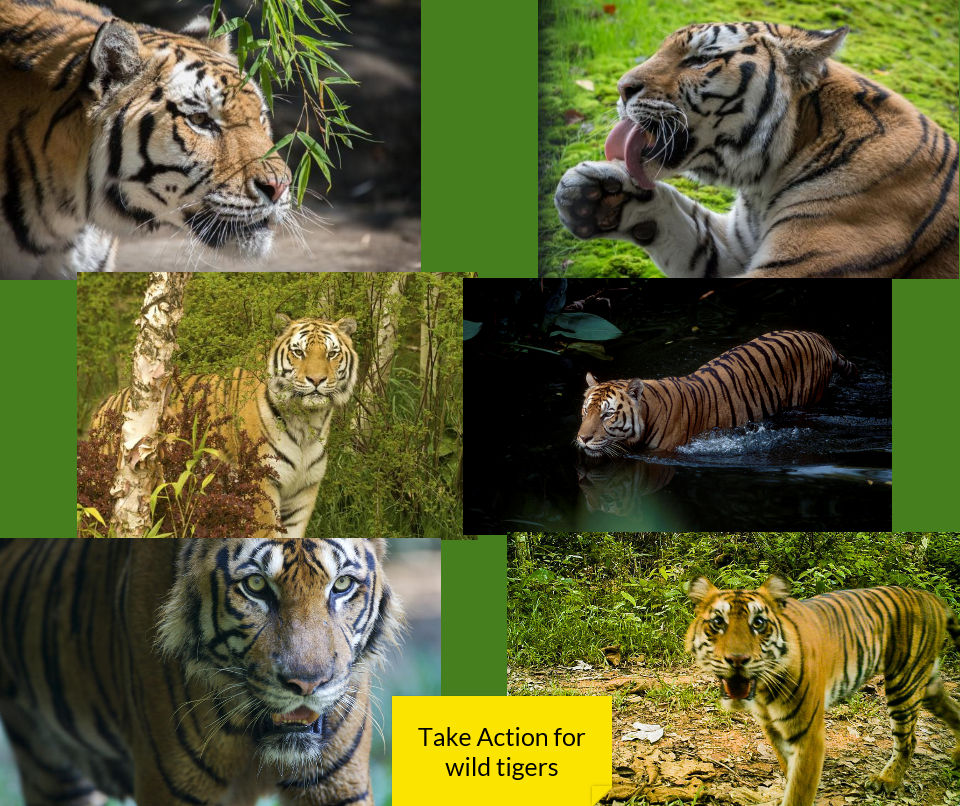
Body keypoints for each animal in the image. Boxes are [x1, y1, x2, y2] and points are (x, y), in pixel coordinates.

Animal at [90, 314, 358, 539]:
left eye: (331, 354)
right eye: (299, 352)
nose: (317, 380)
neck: (308, 422)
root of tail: (104, 403)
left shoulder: (304, 491)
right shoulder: (262, 484)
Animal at [554, 22, 959, 278]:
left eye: (701, 59)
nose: (622, 88)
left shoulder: (798, 265)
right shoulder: (734, 247)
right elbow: (683, 220)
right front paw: (593, 193)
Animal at [685, 576, 960, 805]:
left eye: (759, 623)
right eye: (718, 622)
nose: (737, 659)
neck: (763, 691)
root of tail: (931, 597)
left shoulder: (808, 735)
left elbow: (799, 791)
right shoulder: (773, 728)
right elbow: (789, 770)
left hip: (904, 682)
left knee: (908, 740)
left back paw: (886, 781)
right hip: (925, 683)